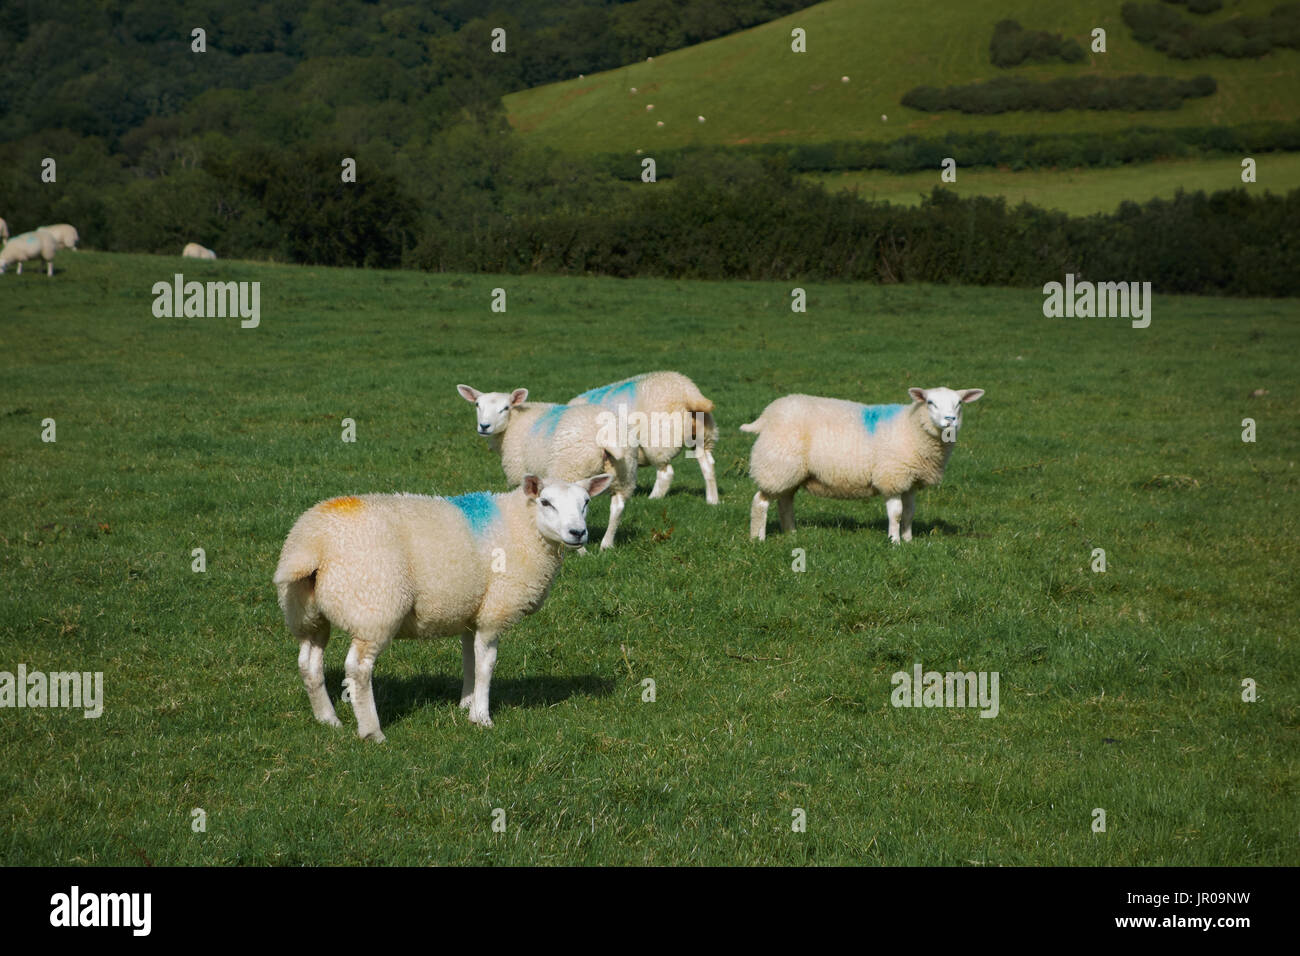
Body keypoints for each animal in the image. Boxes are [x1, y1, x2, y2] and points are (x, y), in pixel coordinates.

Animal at [274, 473, 614, 738]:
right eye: (546, 502)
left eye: (586, 503)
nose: (578, 533)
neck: (521, 526)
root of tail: (312, 543)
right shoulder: (494, 612)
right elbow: (487, 663)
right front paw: (481, 716)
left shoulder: (470, 612)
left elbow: (469, 659)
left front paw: (466, 703)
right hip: (375, 607)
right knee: (358, 669)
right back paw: (372, 731)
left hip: (306, 611)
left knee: (309, 663)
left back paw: (328, 719)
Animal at [458, 385, 637, 550]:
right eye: (477, 405)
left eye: (505, 408)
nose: (484, 426)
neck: (513, 422)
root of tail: (606, 436)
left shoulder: (518, 472)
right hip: (624, 473)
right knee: (618, 507)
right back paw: (606, 545)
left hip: (570, 469)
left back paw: (578, 549)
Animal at [568, 371, 719, 504]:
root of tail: (688, 391)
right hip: (703, 437)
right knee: (708, 465)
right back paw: (712, 500)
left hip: (658, 441)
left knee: (666, 473)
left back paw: (653, 498)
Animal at [742, 387, 985, 542]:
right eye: (930, 402)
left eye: (959, 403)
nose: (950, 420)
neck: (911, 426)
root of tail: (767, 416)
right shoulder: (891, 476)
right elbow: (896, 513)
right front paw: (894, 541)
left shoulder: (910, 480)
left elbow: (909, 513)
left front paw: (908, 540)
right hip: (776, 464)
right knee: (760, 502)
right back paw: (758, 539)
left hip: (790, 470)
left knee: (785, 501)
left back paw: (791, 533)